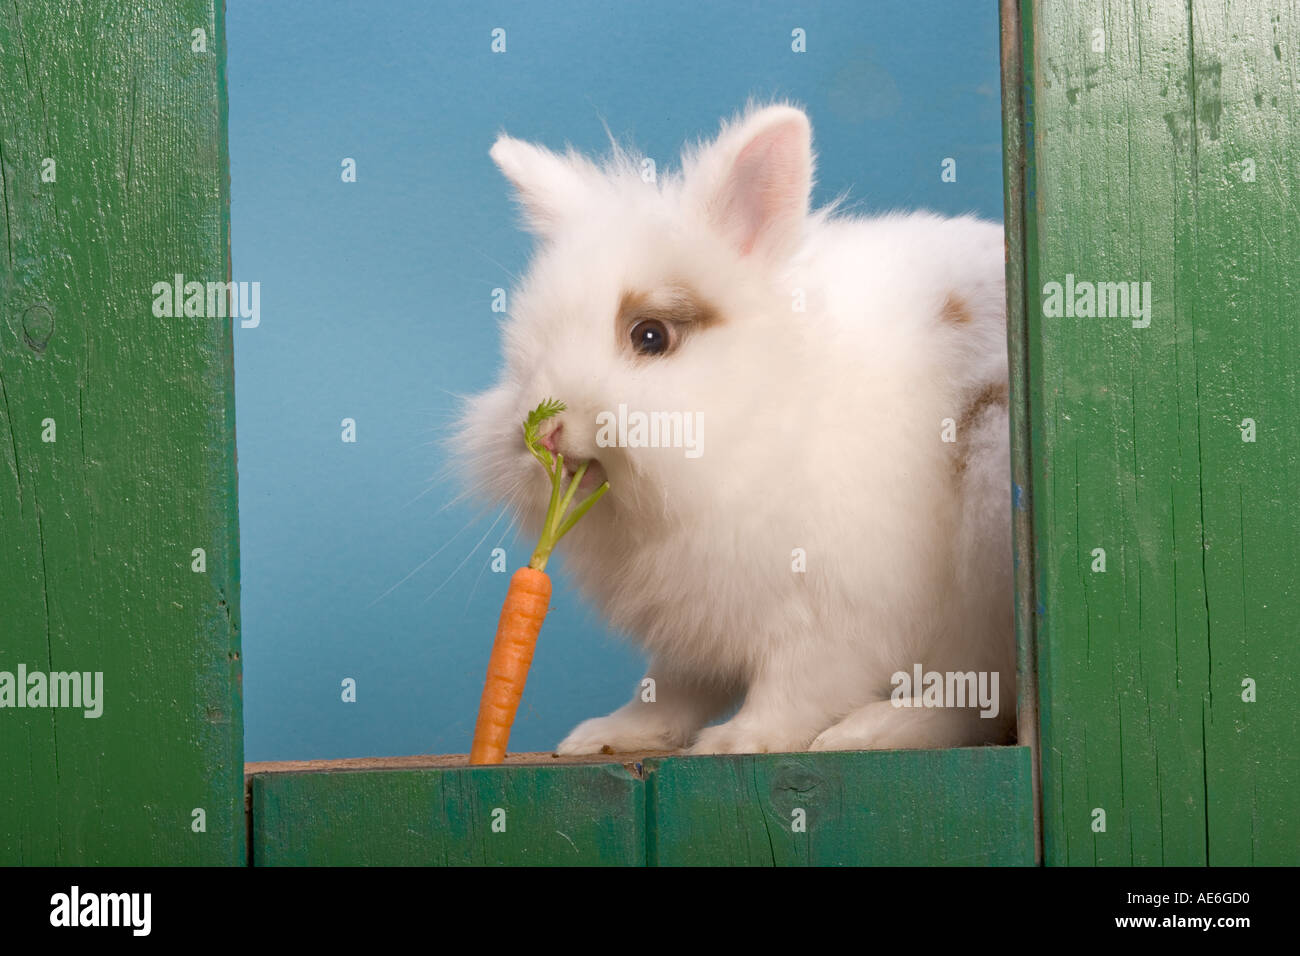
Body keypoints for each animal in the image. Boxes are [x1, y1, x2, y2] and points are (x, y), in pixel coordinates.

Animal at [458, 102, 1016, 755]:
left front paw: (738, 741)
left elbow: (798, 686)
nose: (546, 434)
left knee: (977, 694)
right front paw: (608, 736)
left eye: (651, 336)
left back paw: (873, 731)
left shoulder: (837, 610)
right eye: (522, 352)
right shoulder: (694, 626)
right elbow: (673, 688)